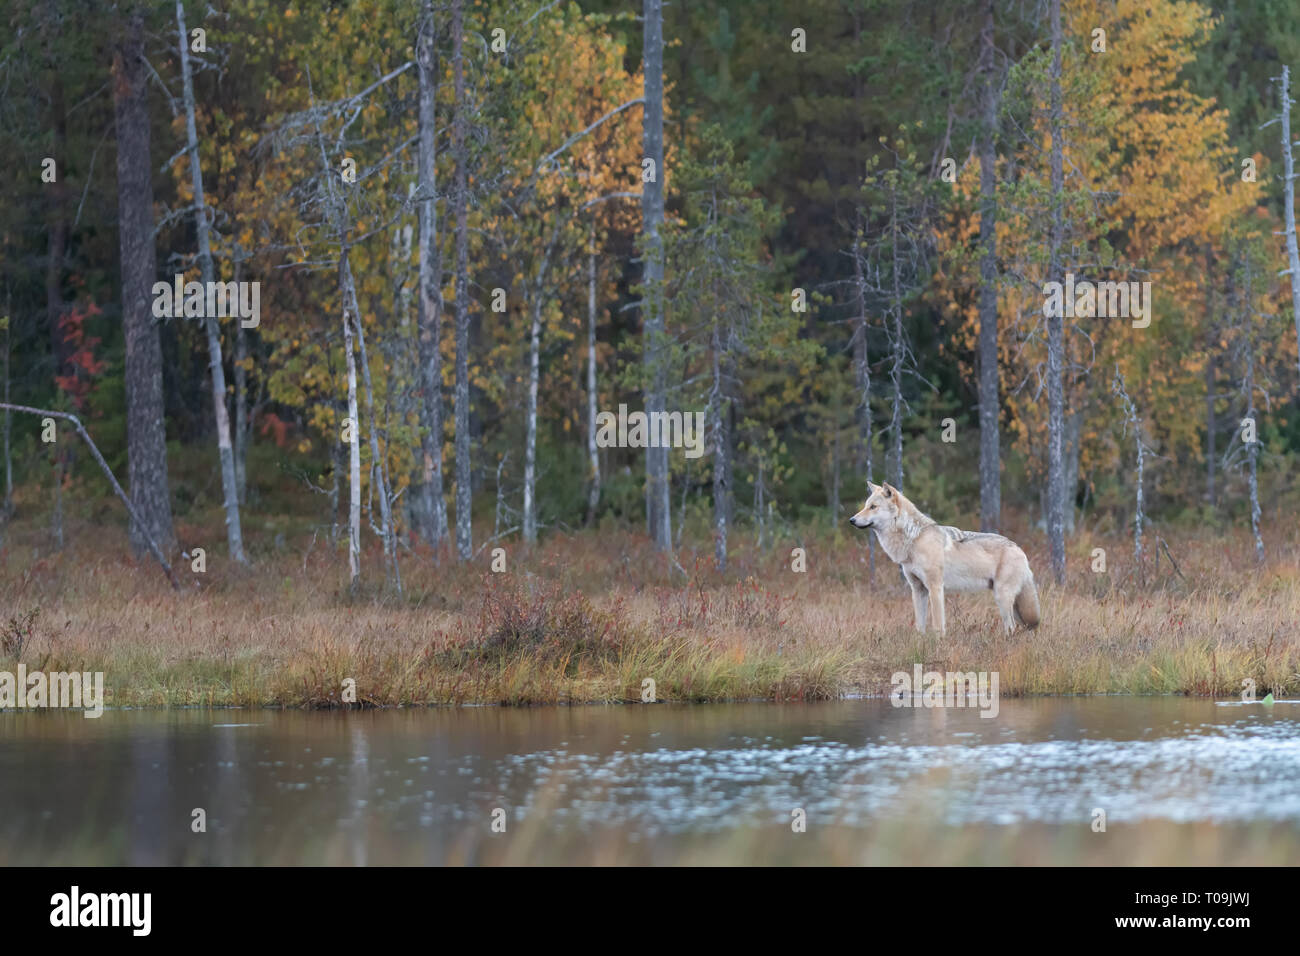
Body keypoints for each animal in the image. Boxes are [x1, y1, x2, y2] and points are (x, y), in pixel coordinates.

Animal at [848, 482, 1040, 634]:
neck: (913, 539)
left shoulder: (935, 587)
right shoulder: (918, 590)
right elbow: (920, 626)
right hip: (1010, 603)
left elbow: (938, 626)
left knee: (1011, 627)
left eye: (873, 507)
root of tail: (1019, 548)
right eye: (865, 506)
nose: (851, 520)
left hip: (1002, 598)